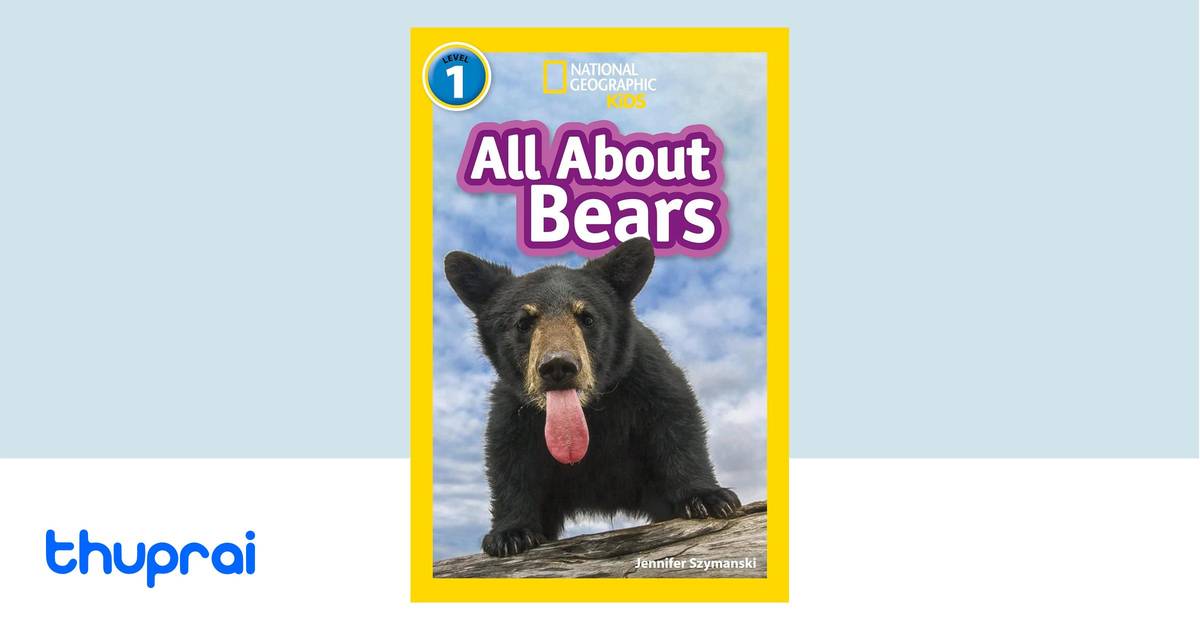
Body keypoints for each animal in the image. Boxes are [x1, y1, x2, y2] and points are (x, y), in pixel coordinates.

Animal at [444, 237, 741, 557]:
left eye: (587, 318)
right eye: (524, 323)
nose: (558, 366)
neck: (590, 412)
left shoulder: (647, 377)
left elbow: (676, 423)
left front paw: (709, 498)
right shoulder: (513, 409)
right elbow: (508, 458)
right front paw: (510, 534)